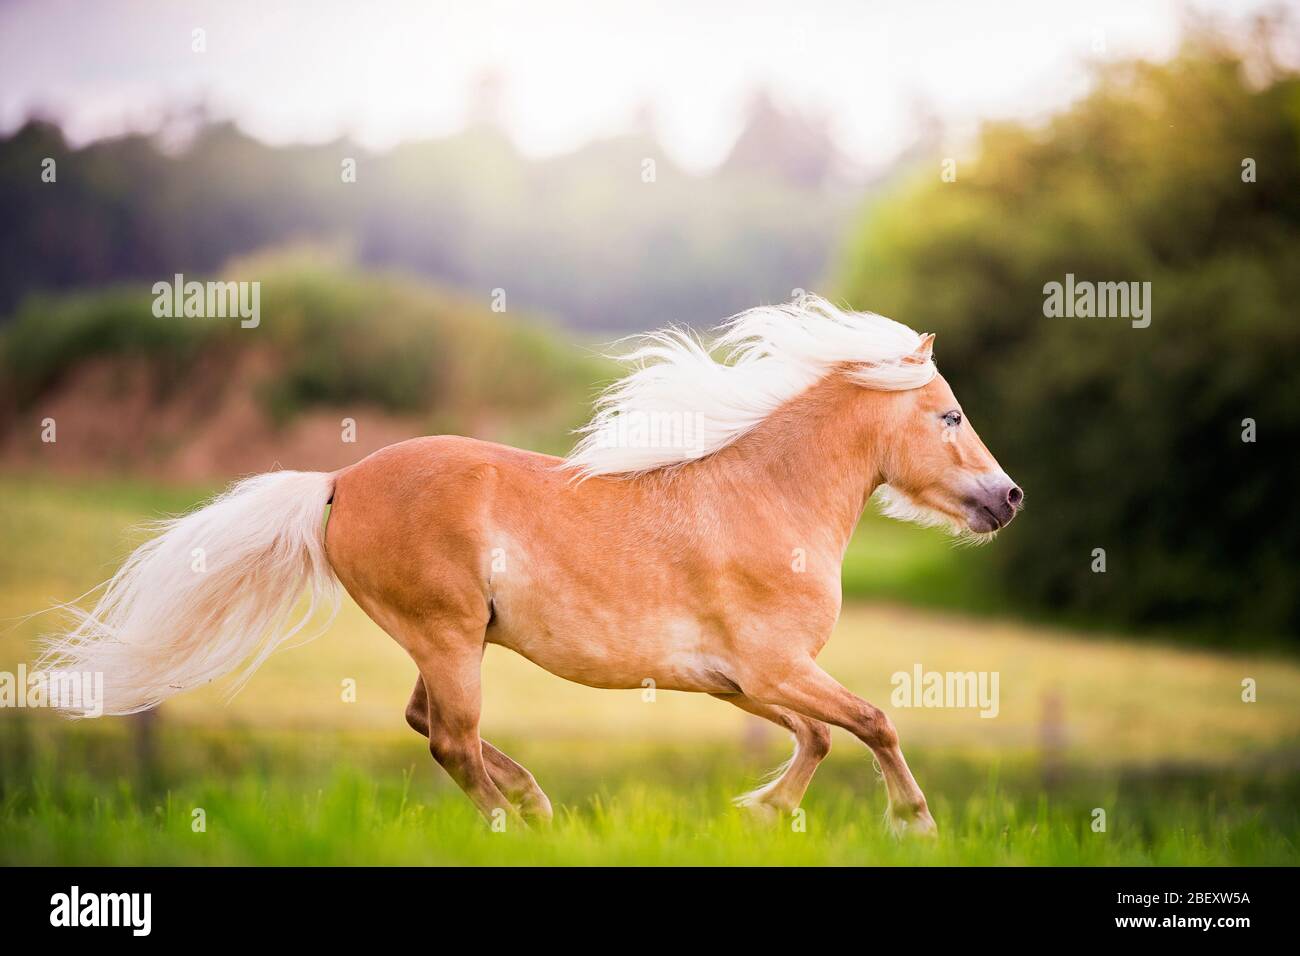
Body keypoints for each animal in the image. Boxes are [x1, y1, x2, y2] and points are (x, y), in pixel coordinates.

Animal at [38, 295, 1022, 834]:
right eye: (948, 416)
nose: (1007, 499)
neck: (767, 499)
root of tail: (338, 481)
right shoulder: (775, 667)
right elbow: (874, 723)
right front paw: (915, 824)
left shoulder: (742, 680)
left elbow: (821, 736)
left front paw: (761, 814)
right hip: (446, 635)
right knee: (449, 738)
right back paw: (518, 823)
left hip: (452, 640)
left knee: (430, 727)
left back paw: (538, 806)